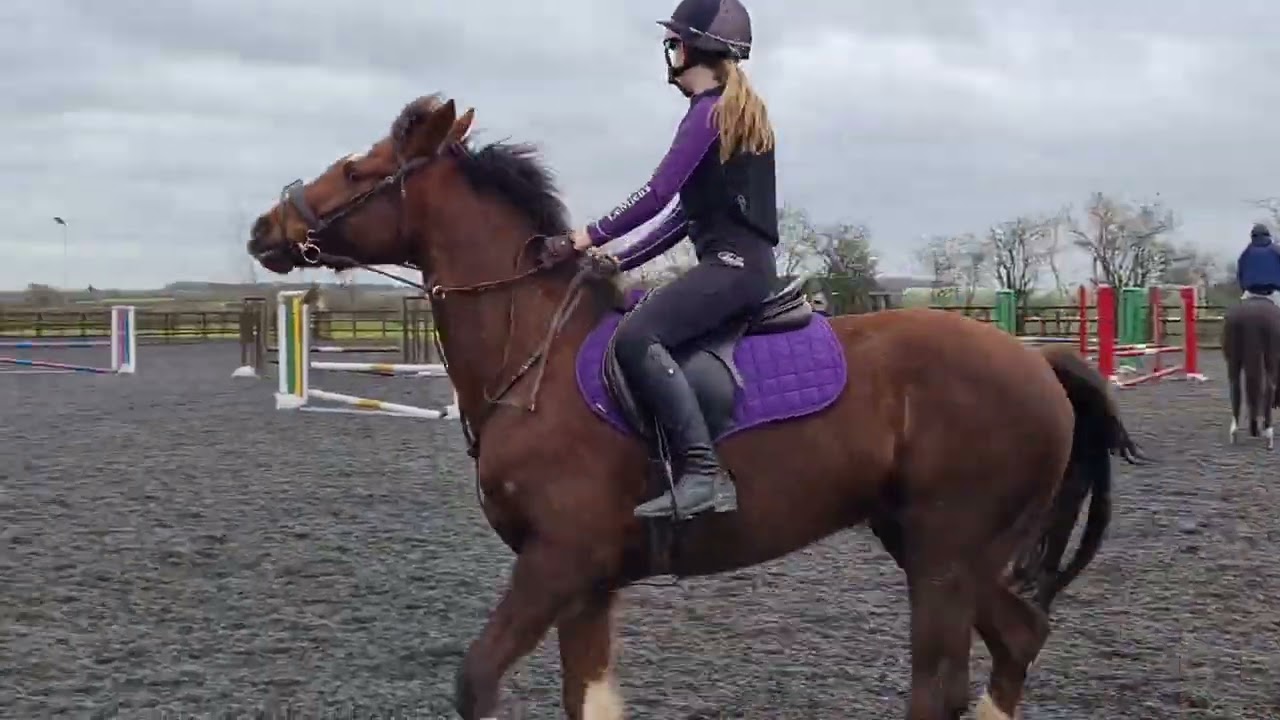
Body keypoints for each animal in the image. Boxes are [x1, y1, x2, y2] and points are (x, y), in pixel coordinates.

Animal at [246, 94, 1146, 720]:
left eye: (360, 172)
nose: (264, 227)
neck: (534, 350)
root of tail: (1036, 359)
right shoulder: (587, 582)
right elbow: (587, 700)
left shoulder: (555, 561)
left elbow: (477, 680)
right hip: (941, 547)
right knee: (1018, 638)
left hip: (946, 555)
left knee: (940, 687)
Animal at [1222, 294, 1280, 449]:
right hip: (1270, 359)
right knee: (1268, 388)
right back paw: (1268, 434)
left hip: (1234, 361)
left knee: (1236, 389)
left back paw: (1235, 432)